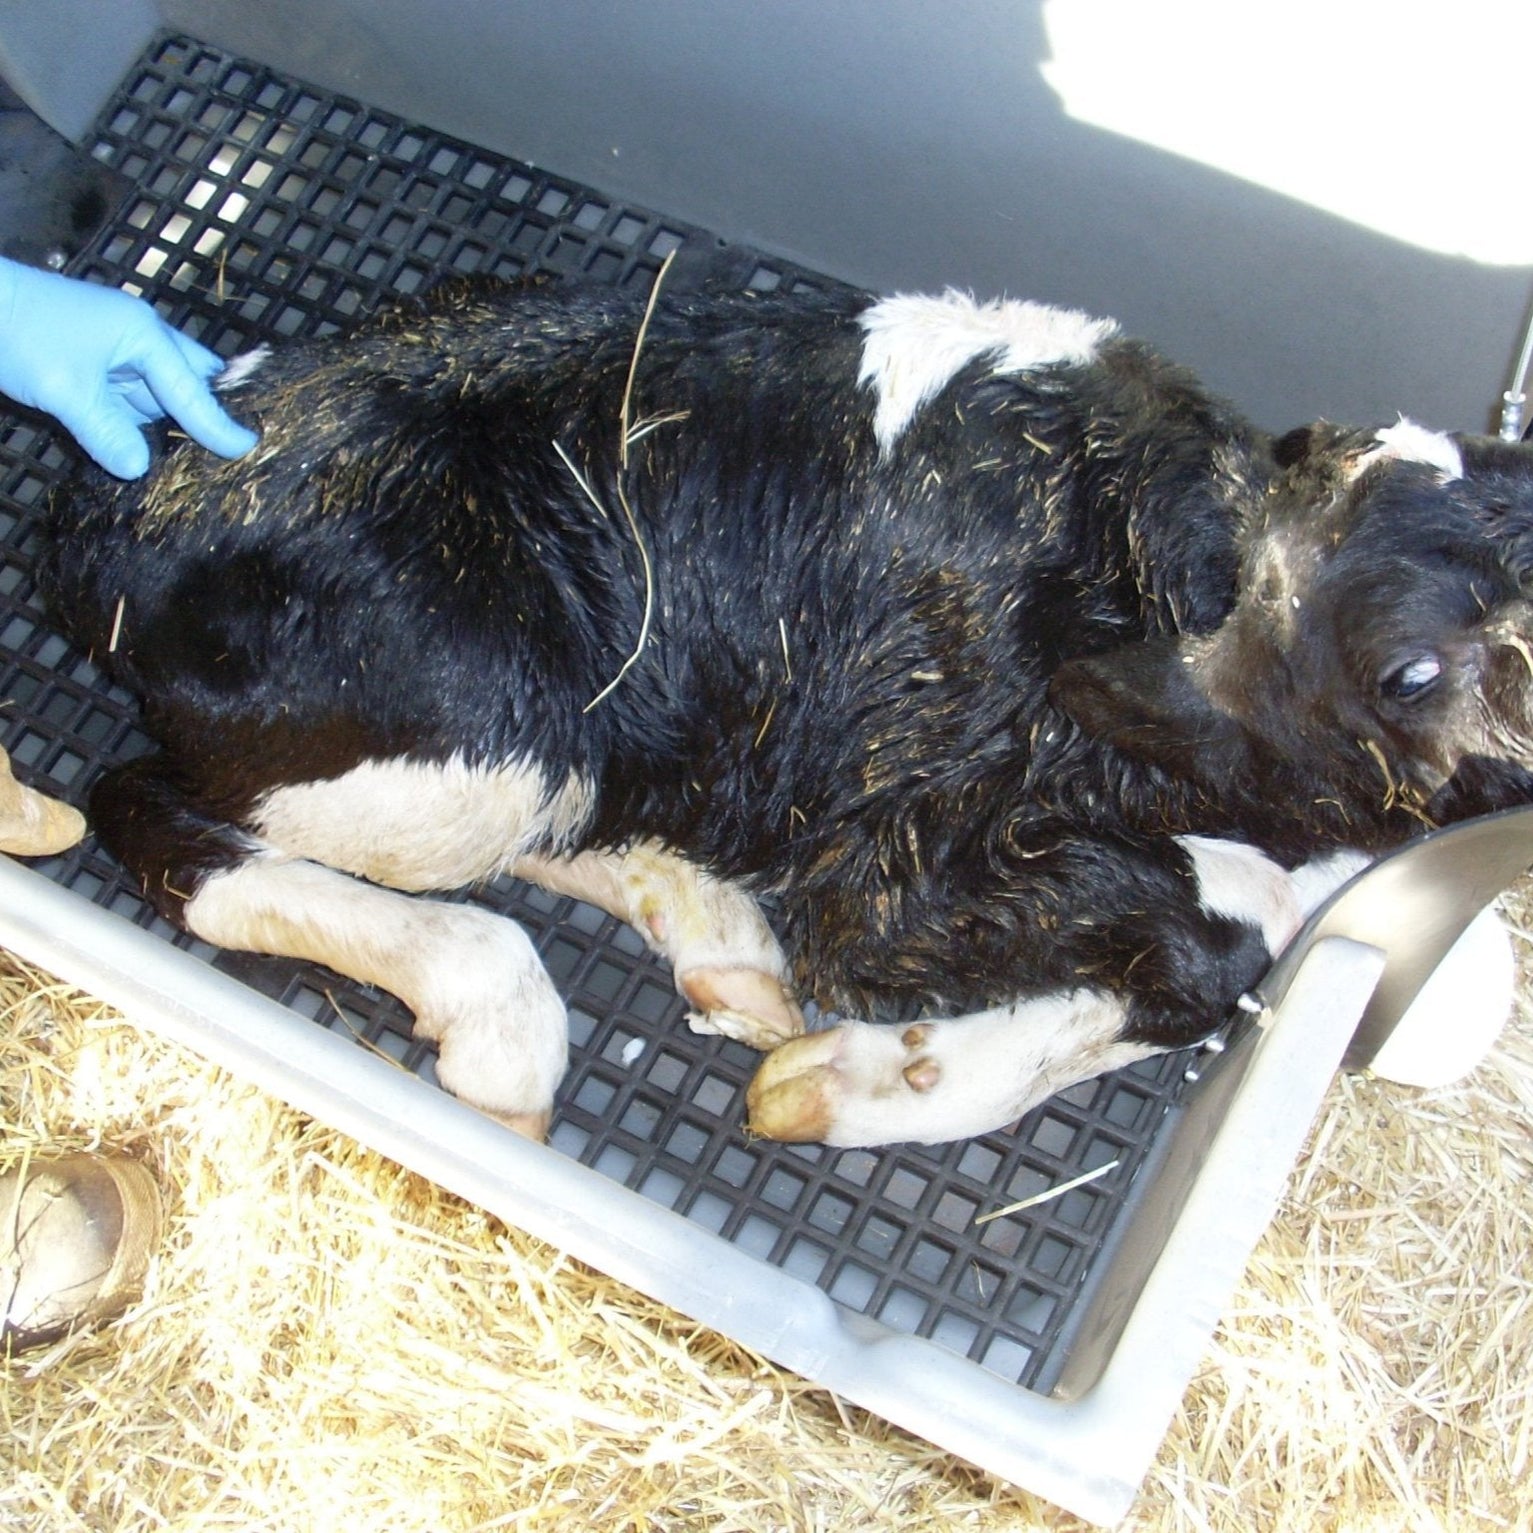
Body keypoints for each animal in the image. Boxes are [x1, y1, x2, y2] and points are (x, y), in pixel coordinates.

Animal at [37, 273, 1533, 1147]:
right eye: (1411, 671)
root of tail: (133, 497)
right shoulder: (896, 863)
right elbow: (1211, 939)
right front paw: (886, 1074)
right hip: (479, 734)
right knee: (153, 810)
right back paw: (497, 1013)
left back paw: (712, 932)